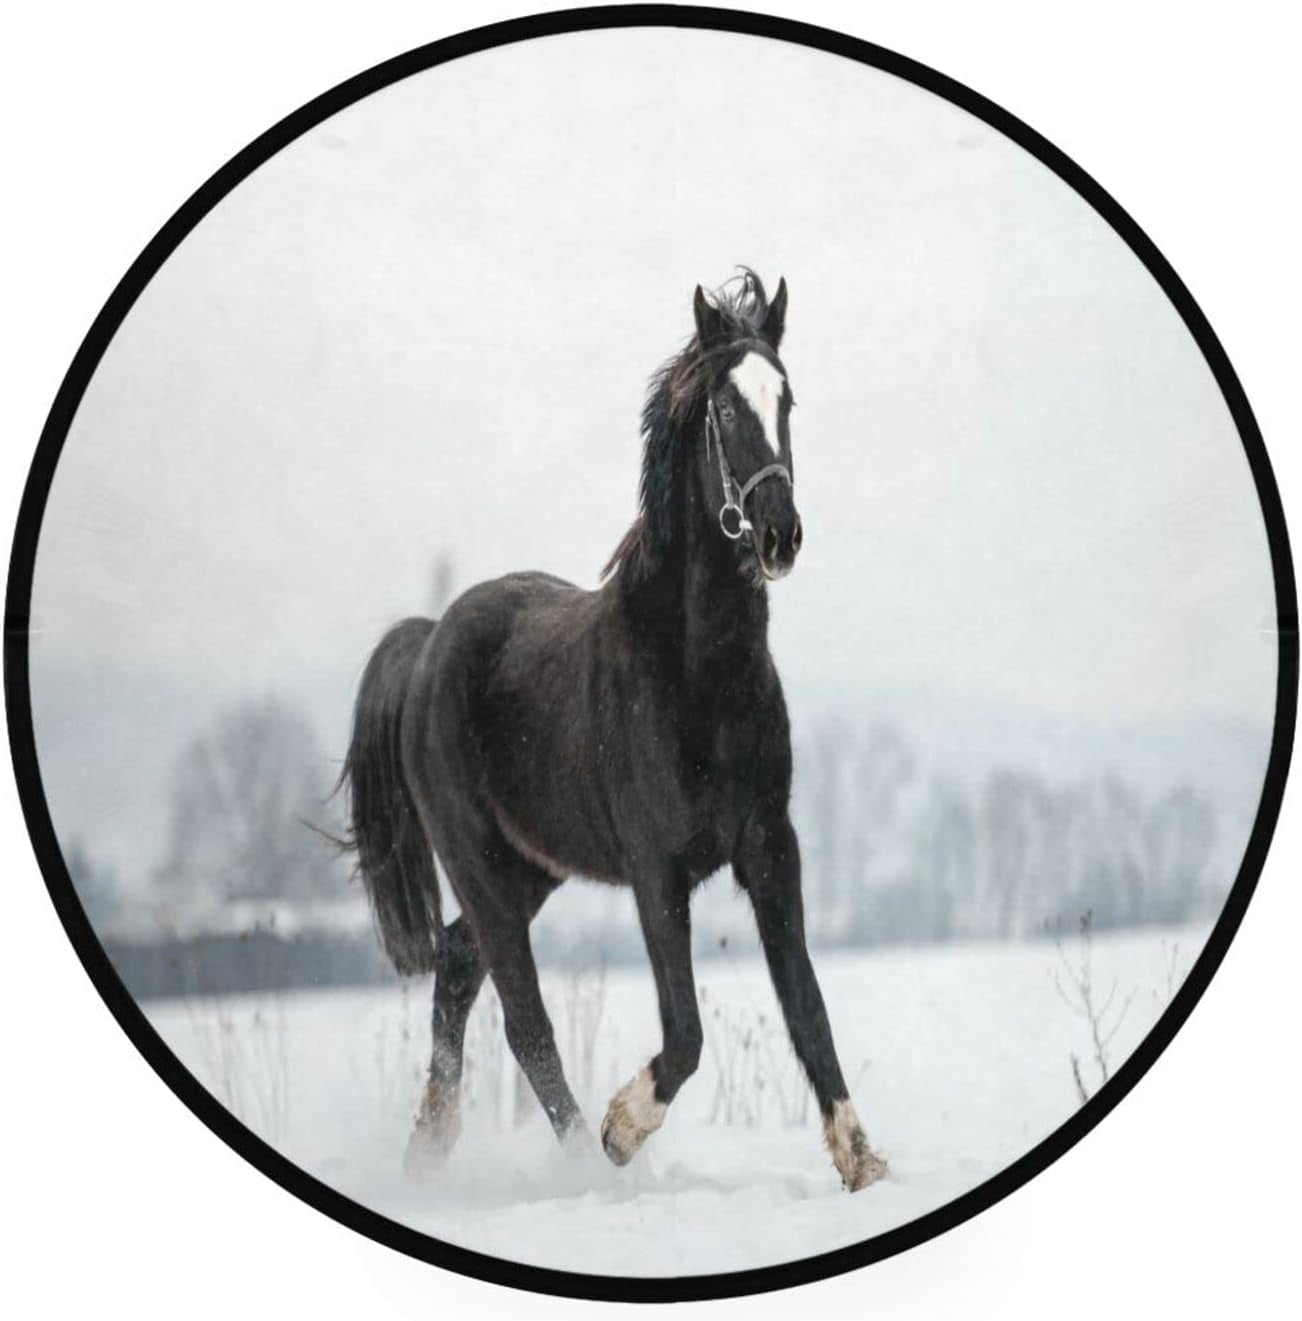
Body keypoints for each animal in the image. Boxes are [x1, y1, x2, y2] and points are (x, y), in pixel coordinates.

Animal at [340, 270, 887, 1192]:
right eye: (724, 407)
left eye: (787, 399)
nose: (780, 534)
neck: (700, 680)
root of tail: (428, 642)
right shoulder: (655, 868)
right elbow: (687, 1029)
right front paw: (623, 1126)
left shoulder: (770, 849)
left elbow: (807, 1005)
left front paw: (862, 1162)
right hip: (478, 864)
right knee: (525, 1021)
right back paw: (588, 1165)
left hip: (528, 869)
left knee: (456, 969)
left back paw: (429, 1150)